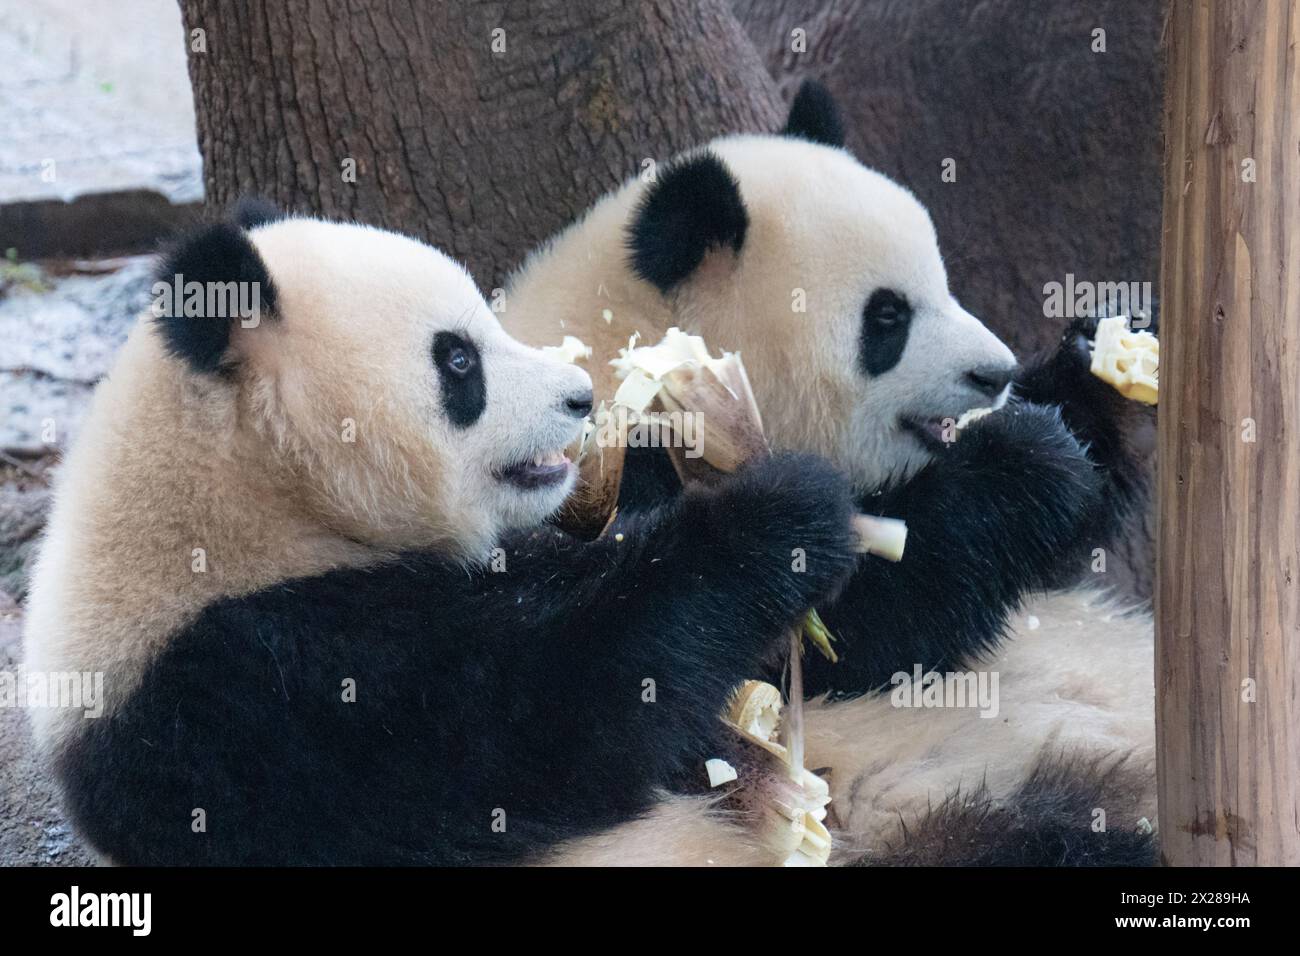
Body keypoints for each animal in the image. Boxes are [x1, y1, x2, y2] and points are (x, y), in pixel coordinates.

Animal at [502, 82, 1157, 865]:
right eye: (888, 317)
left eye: (945, 284)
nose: (993, 374)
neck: (648, 353)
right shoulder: (602, 475)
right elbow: (810, 649)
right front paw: (1026, 463)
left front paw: (1099, 368)